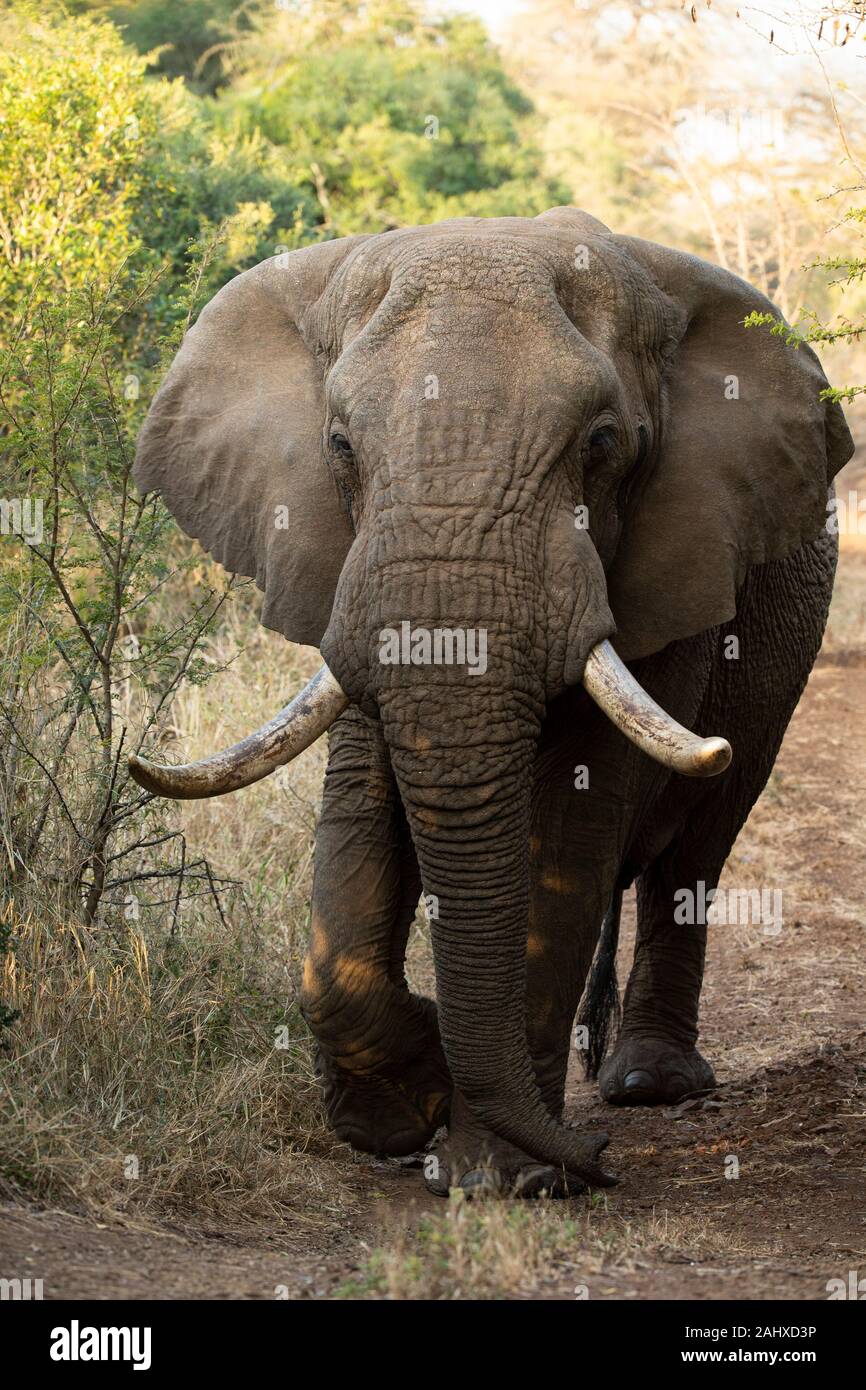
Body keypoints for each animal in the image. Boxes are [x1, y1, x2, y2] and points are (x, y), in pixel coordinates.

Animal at [129, 208, 853, 1197]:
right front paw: (402, 1112)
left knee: (699, 841)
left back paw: (648, 1085)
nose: (600, 1159)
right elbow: (360, 808)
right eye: (340, 447)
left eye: (601, 446)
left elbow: (572, 826)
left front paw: (503, 1178)